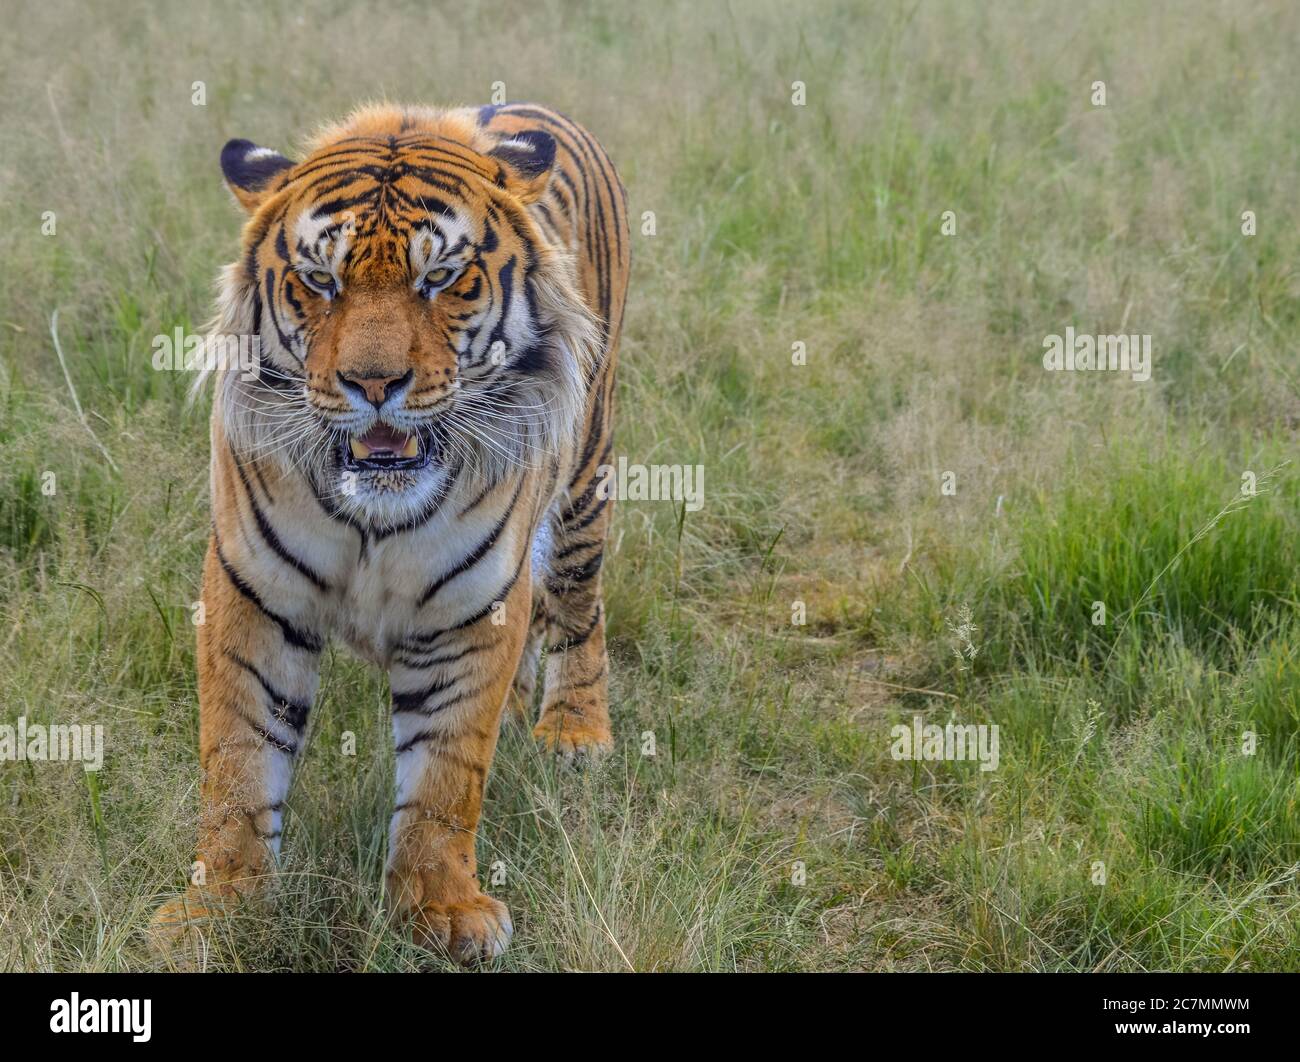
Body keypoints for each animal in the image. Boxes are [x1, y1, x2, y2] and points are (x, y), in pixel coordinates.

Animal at [149, 102, 629, 963]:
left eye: (438, 279)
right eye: (320, 281)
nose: (373, 385)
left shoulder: (474, 608)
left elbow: (445, 774)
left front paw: (439, 909)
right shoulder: (250, 593)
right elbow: (237, 761)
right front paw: (221, 909)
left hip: (586, 478)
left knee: (580, 604)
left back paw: (573, 730)